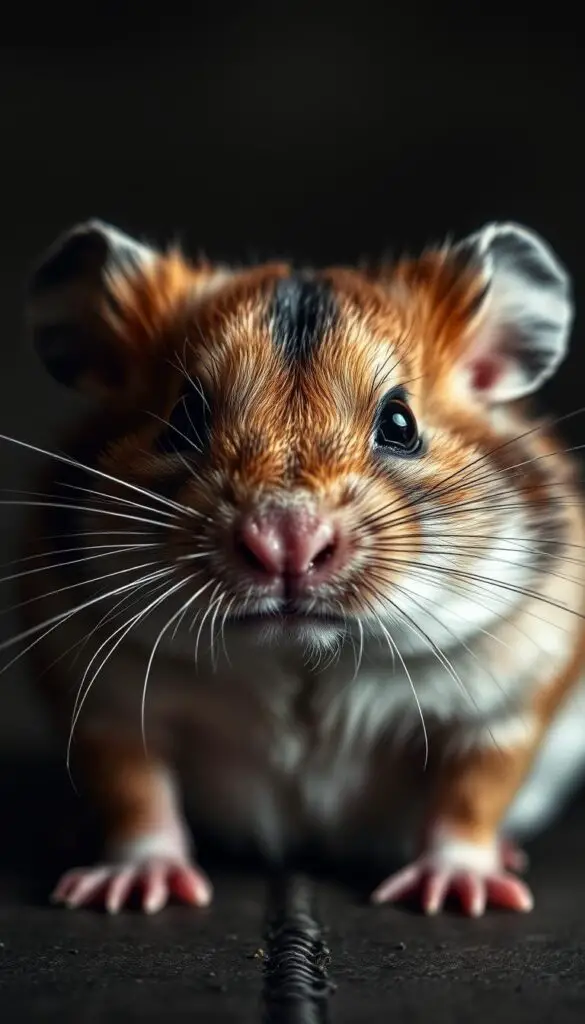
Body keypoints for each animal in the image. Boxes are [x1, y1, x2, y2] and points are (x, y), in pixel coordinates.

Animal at [9, 217, 585, 917]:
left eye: (400, 423)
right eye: (183, 418)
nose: (286, 544)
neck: (302, 662)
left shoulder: (504, 705)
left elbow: (471, 794)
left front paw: (458, 892)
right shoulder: (107, 707)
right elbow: (135, 795)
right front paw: (130, 889)